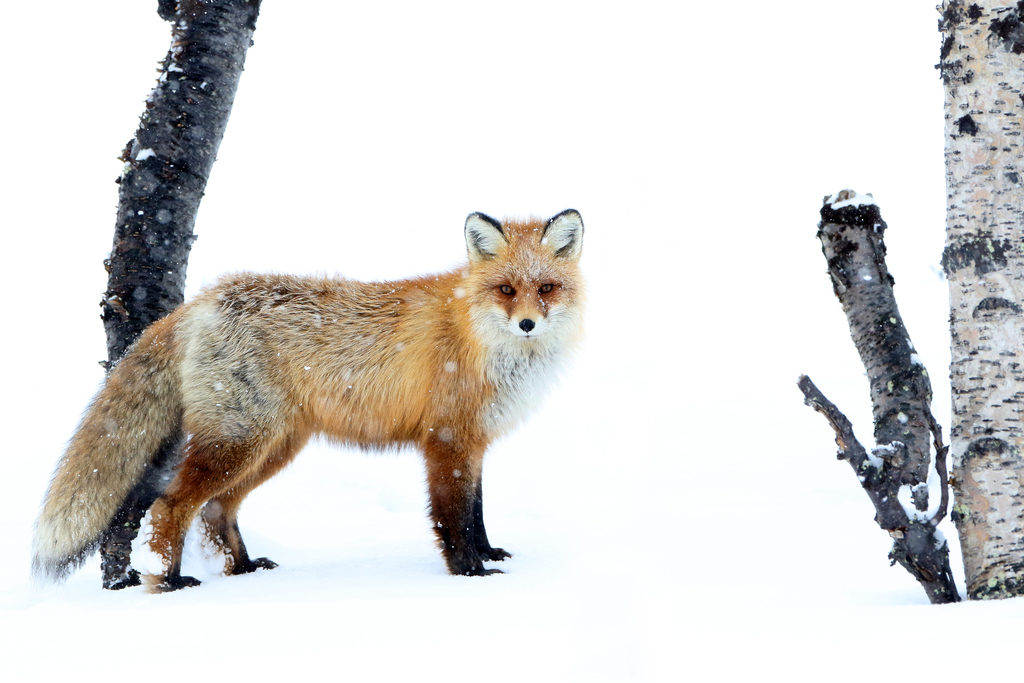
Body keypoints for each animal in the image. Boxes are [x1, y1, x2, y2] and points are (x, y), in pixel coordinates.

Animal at [31, 210, 584, 592]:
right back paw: (167, 582)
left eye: (546, 288)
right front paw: (470, 573)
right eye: (506, 289)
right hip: (241, 442)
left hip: (274, 447)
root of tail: (202, 300)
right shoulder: (447, 440)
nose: (527, 324)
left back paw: (244, 569)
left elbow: (478, 512)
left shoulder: (474, 441)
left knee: (216, 510)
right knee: (170, 505)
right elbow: (454, 517)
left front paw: (490, 555)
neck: (480, 339)